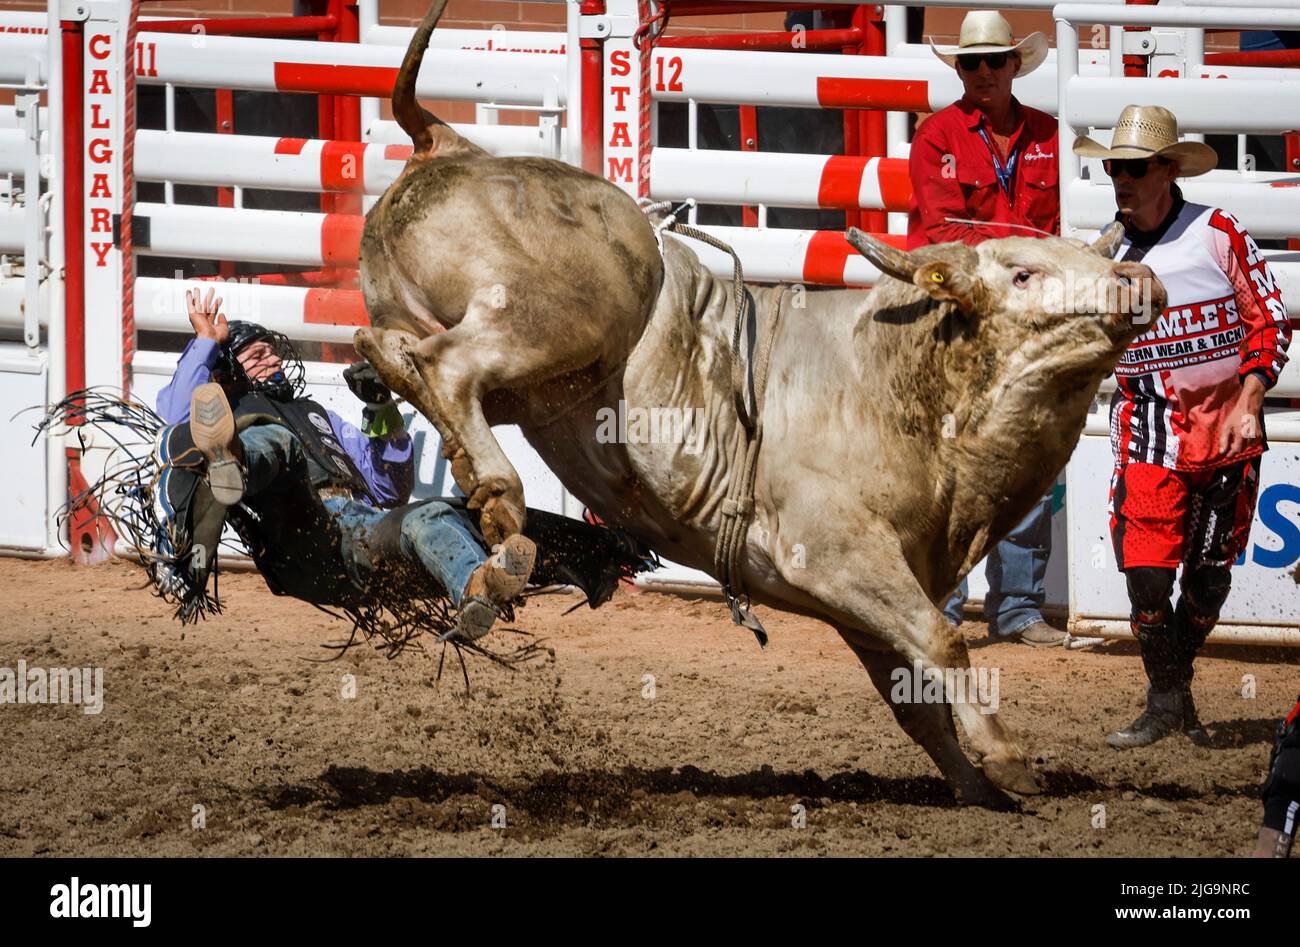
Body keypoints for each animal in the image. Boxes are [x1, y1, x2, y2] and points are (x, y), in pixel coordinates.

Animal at [356, 2, 1165, 807]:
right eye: (1024, 273)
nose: (1138, 281)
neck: (896, 383)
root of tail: (448, 139)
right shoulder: (840, 555)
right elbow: (943, 640)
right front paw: (1006, 761)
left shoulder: (863, 607)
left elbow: (915, 699)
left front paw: (971, 783)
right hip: (559, 320)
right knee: (448, 365)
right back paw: (500, 506)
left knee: (389, 348)